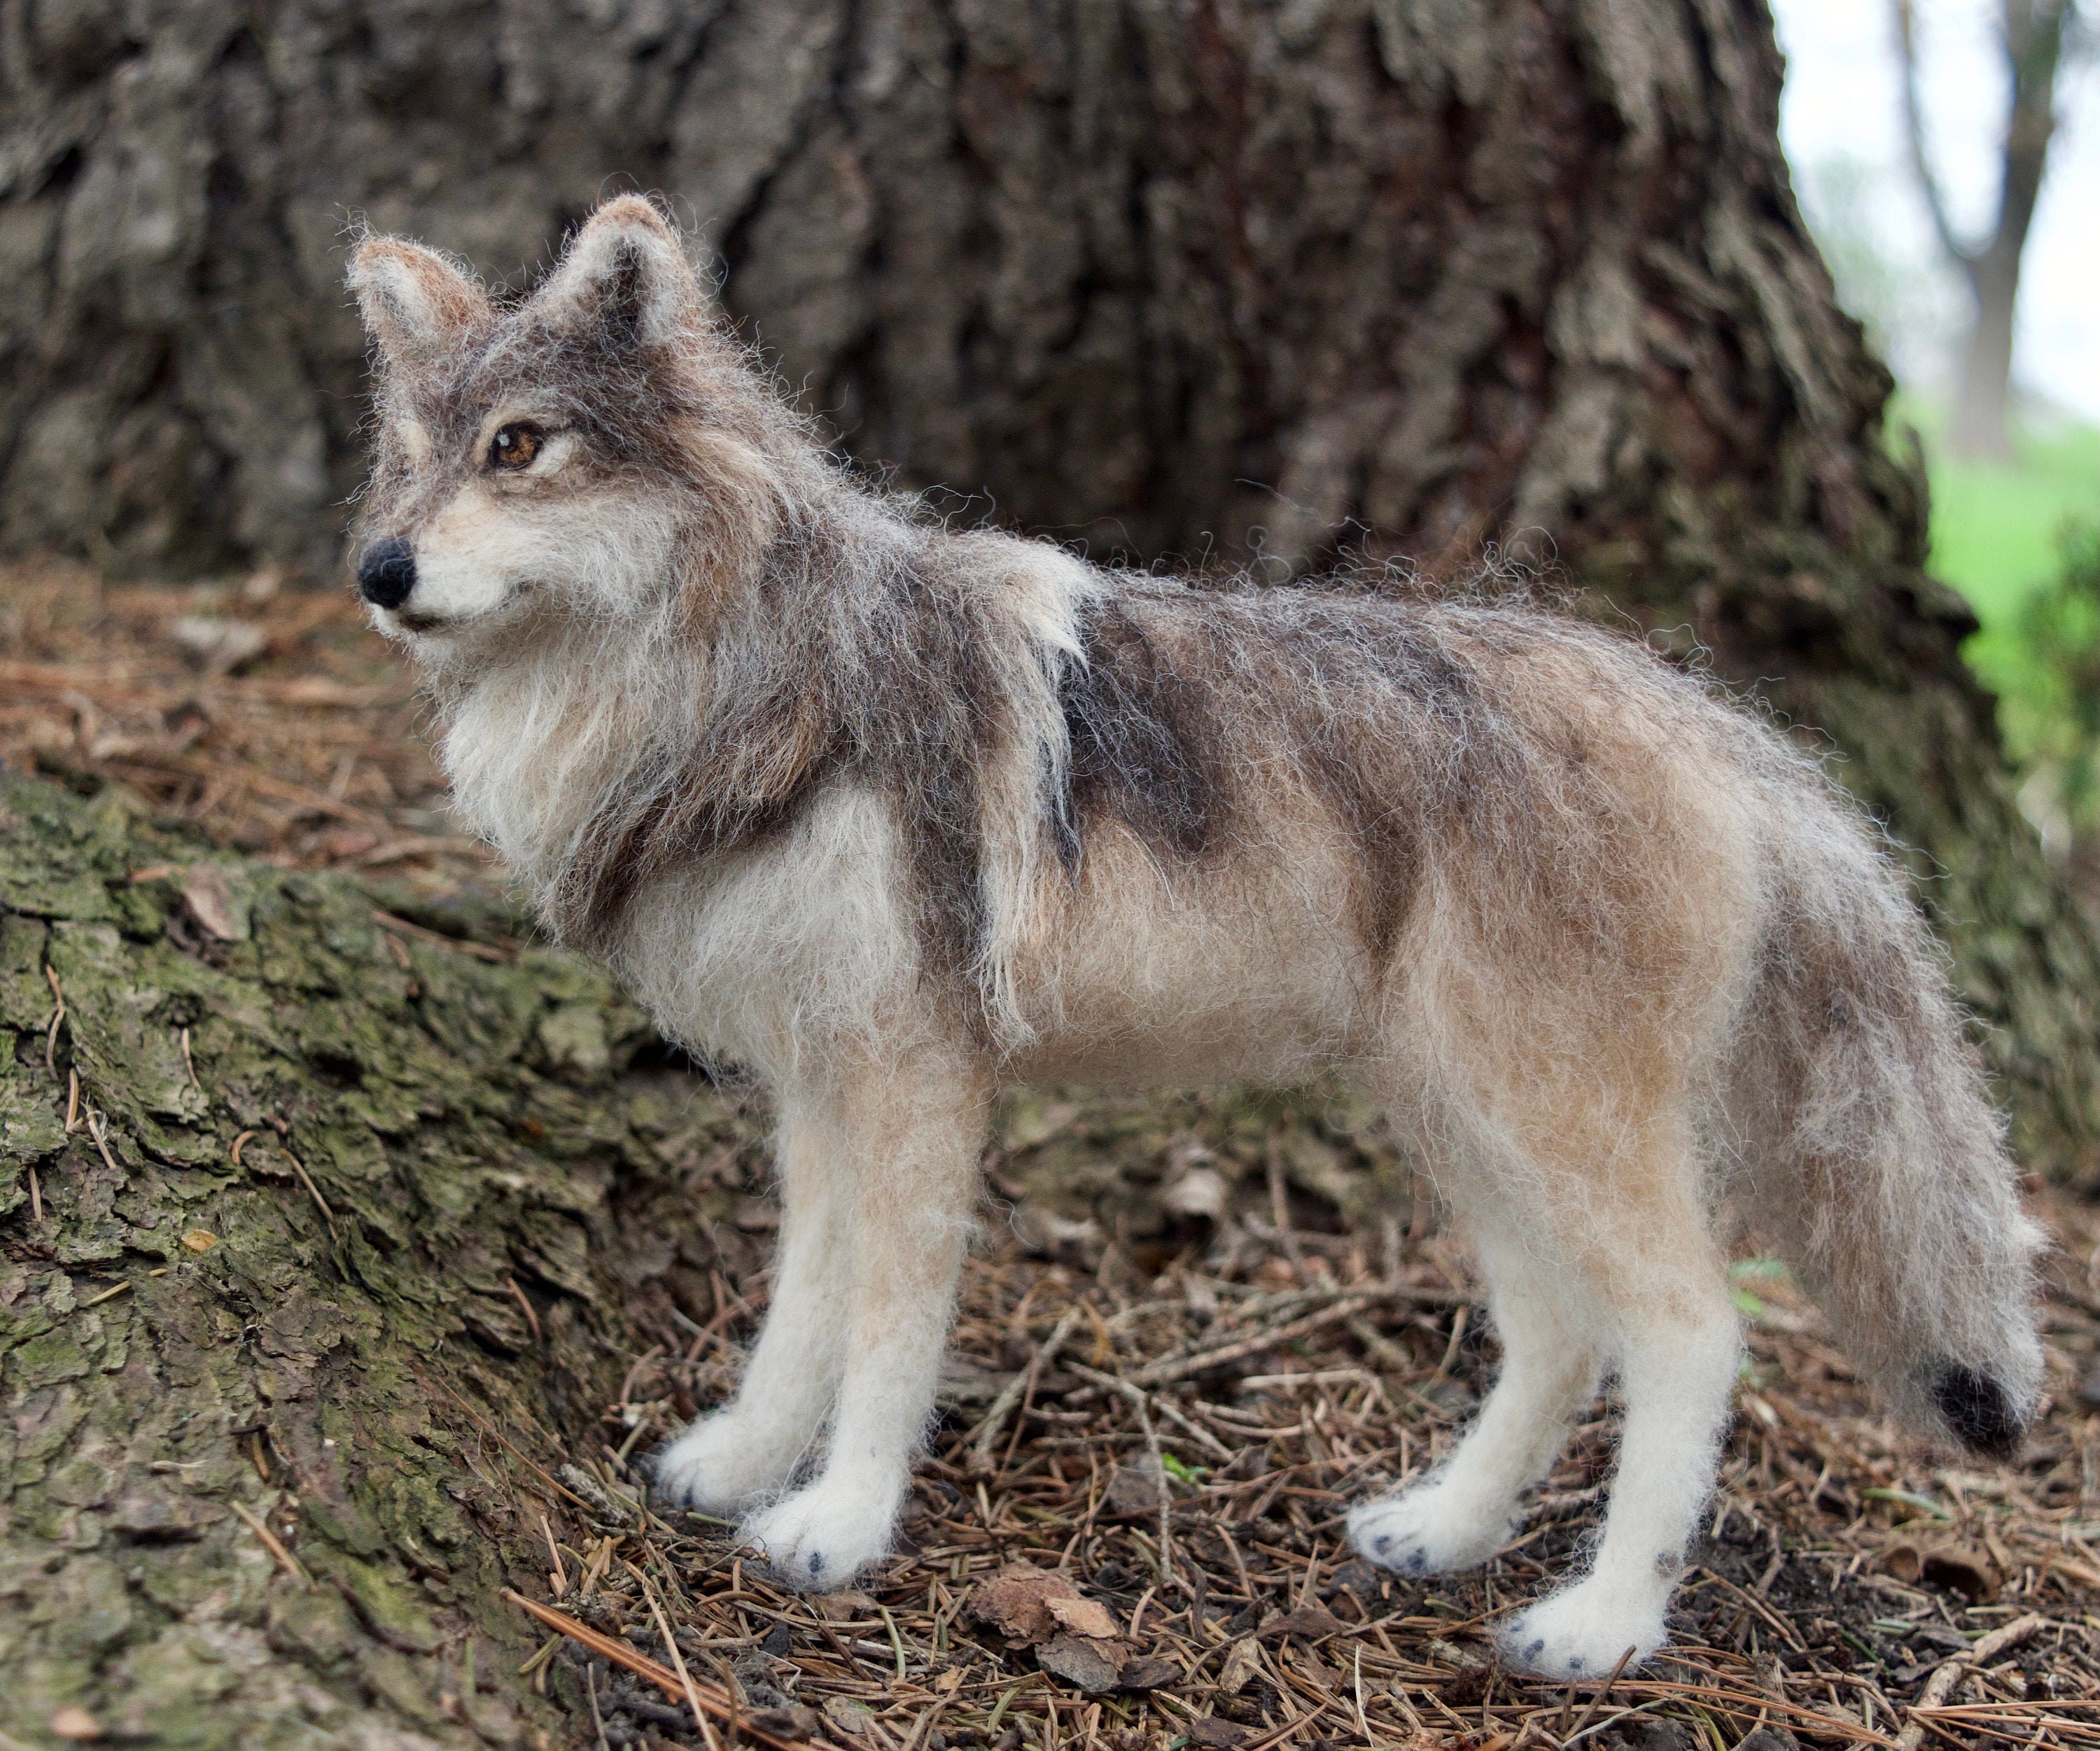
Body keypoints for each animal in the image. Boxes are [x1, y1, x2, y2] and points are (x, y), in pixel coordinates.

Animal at [347, 195, 2042, 1678]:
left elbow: (889, 1332)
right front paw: (748, 1464)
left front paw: (839, 1524)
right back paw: (1443, 1532)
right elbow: (799, 1313)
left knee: (1690, 1339)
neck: (760, 682)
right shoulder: (822, 1090)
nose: (376, 571)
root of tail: (1722, 728)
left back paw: (1605, 1626)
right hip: (1466, 1124)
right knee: (1563, 1335)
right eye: (408, 461)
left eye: (520, 447)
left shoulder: (915, 1086)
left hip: (1549, 1129)